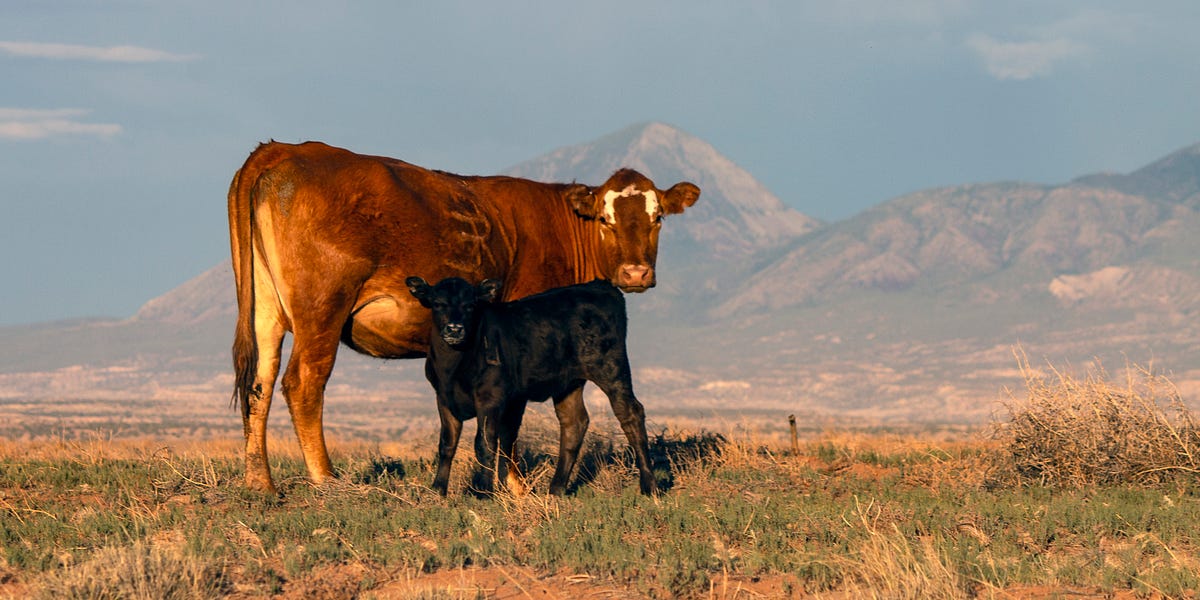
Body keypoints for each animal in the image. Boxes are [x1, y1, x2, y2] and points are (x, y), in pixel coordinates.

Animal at [406, 276, 656, 496]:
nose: (454, 328)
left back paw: (649, 485)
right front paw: (438, 490)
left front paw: (483, 491)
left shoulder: (490, 395)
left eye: (470, 305)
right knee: (574, 422)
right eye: (437, 304)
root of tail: (600, 285)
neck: (452, 368)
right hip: (568, 382)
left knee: (631, 413)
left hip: (611, 368)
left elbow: (485, 442)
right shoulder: (443, 397)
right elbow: (447, 444)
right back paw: (556, 489)